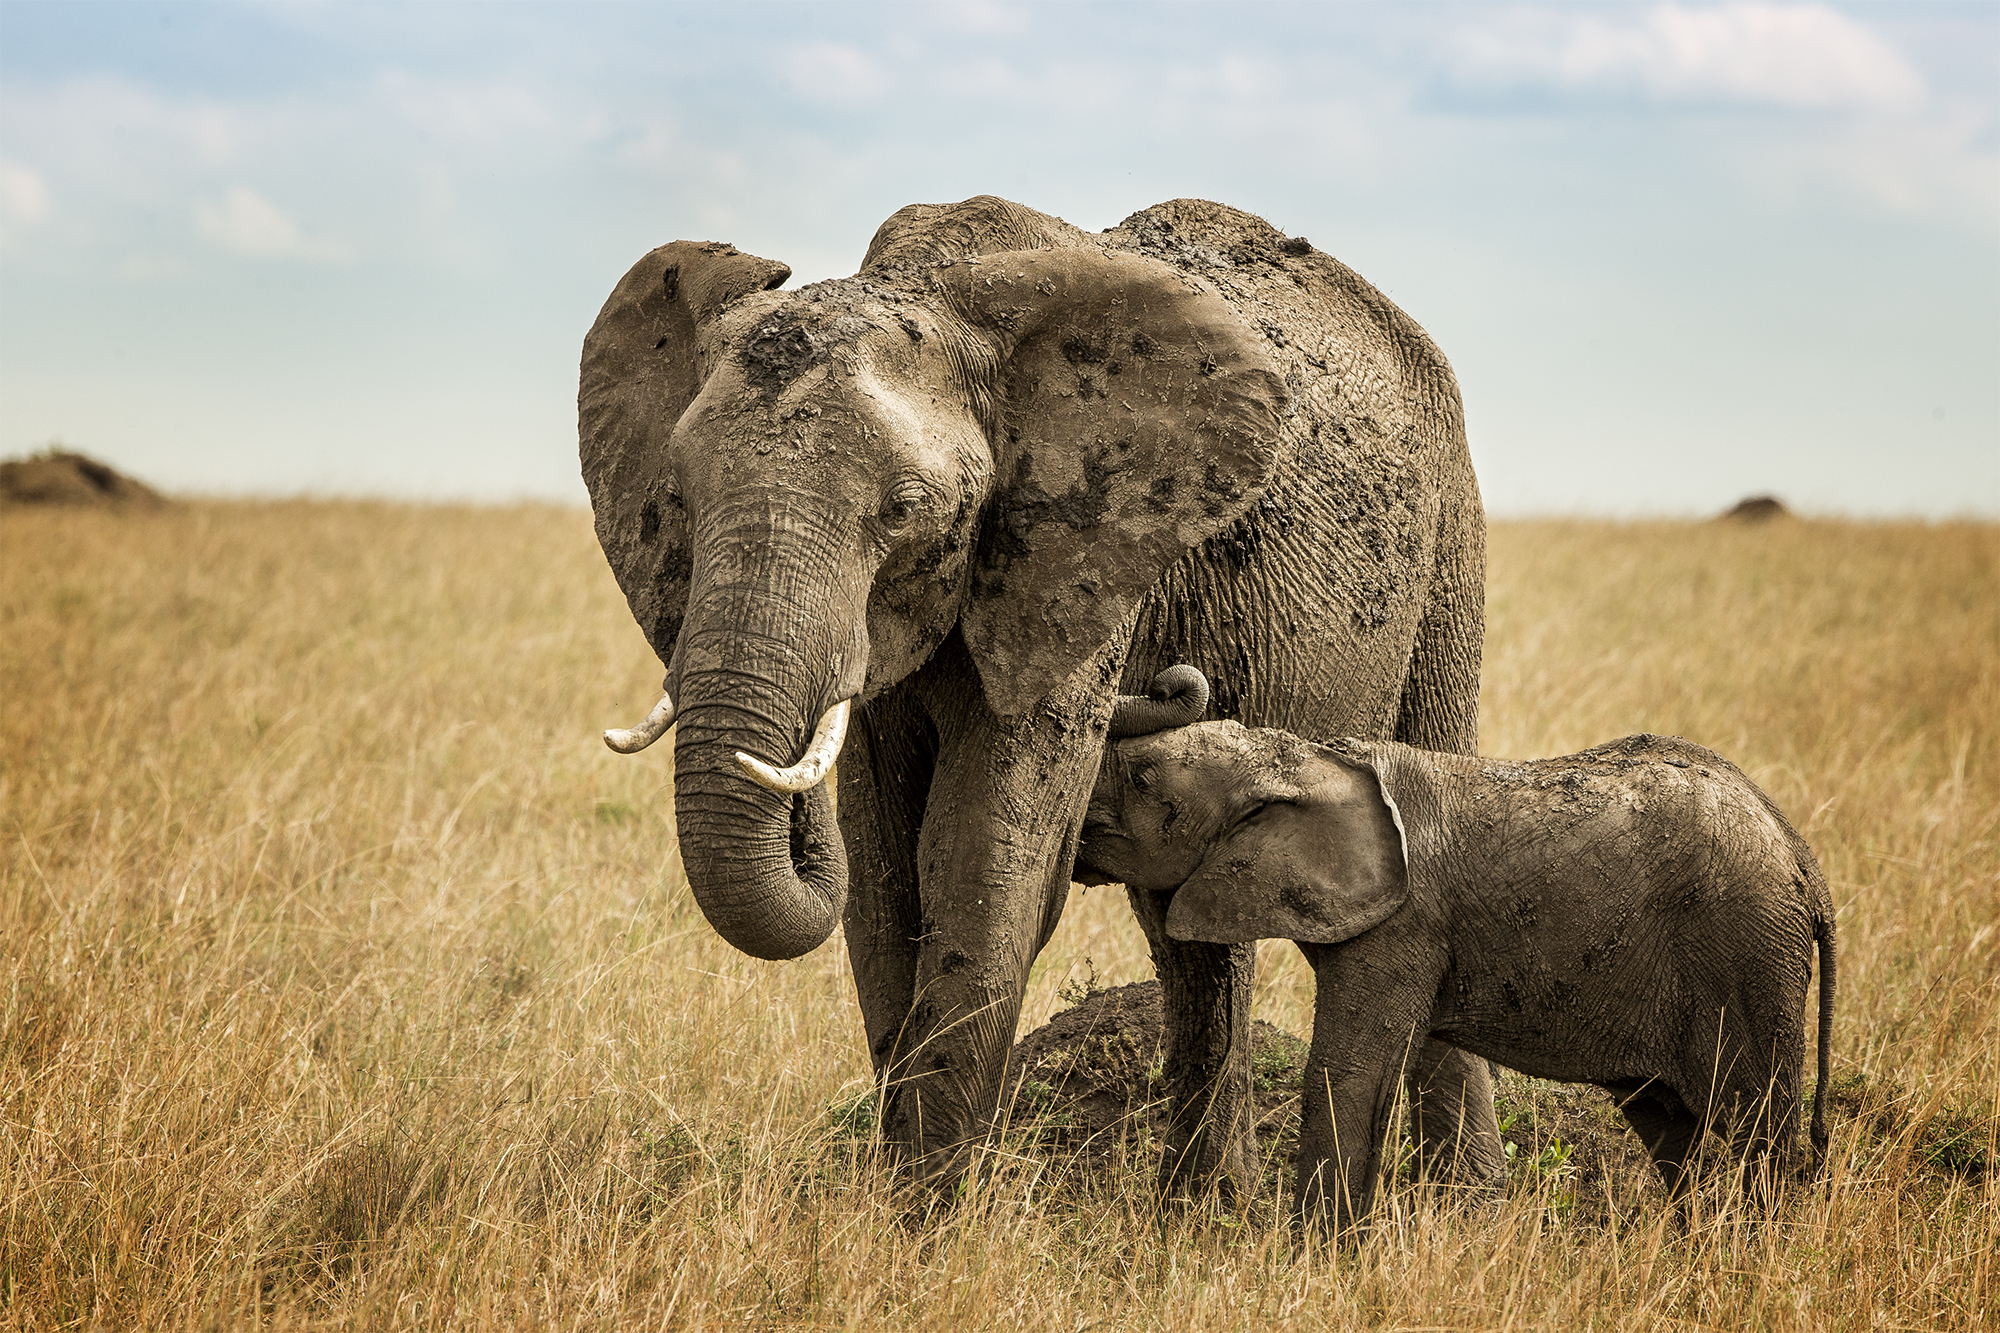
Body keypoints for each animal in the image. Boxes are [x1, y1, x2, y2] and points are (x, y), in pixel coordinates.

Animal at [580, 194, 1504, 1200]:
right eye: (676, 496)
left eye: (905, 508)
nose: (1178, 678)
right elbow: (882, 877)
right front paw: (896, 1199)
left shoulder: (1079, 561)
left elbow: (981, 858)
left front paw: (929, 1215)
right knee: (1191, 932)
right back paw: (1203, 1210)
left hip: (1451, 540)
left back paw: (1462, 1200)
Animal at [1078, 707, 1839, 1230]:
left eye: (1142, 779)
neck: (1297, 755)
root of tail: (1800, 853)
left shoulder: (1402, 924)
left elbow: (1349, 1072)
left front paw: (1311, 1266)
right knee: (1675, 1131)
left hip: (1746, 953)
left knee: (1756, 1131)